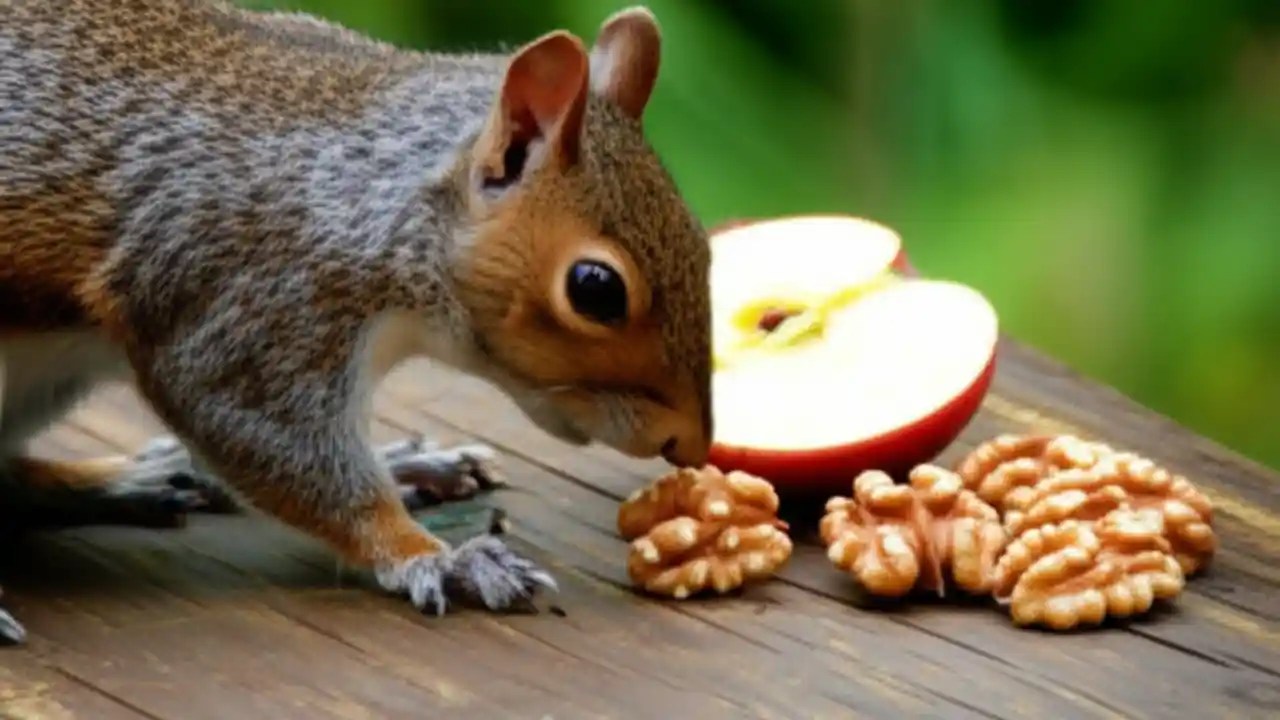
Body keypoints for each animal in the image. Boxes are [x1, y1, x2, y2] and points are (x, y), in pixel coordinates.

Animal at [0, 0, 713, 645]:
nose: (691, 446)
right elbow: (273, 440)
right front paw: (437, 558)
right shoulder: (252, 308)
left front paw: (404, 472)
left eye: (704, 246)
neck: (372, 192)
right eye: (595, 289)